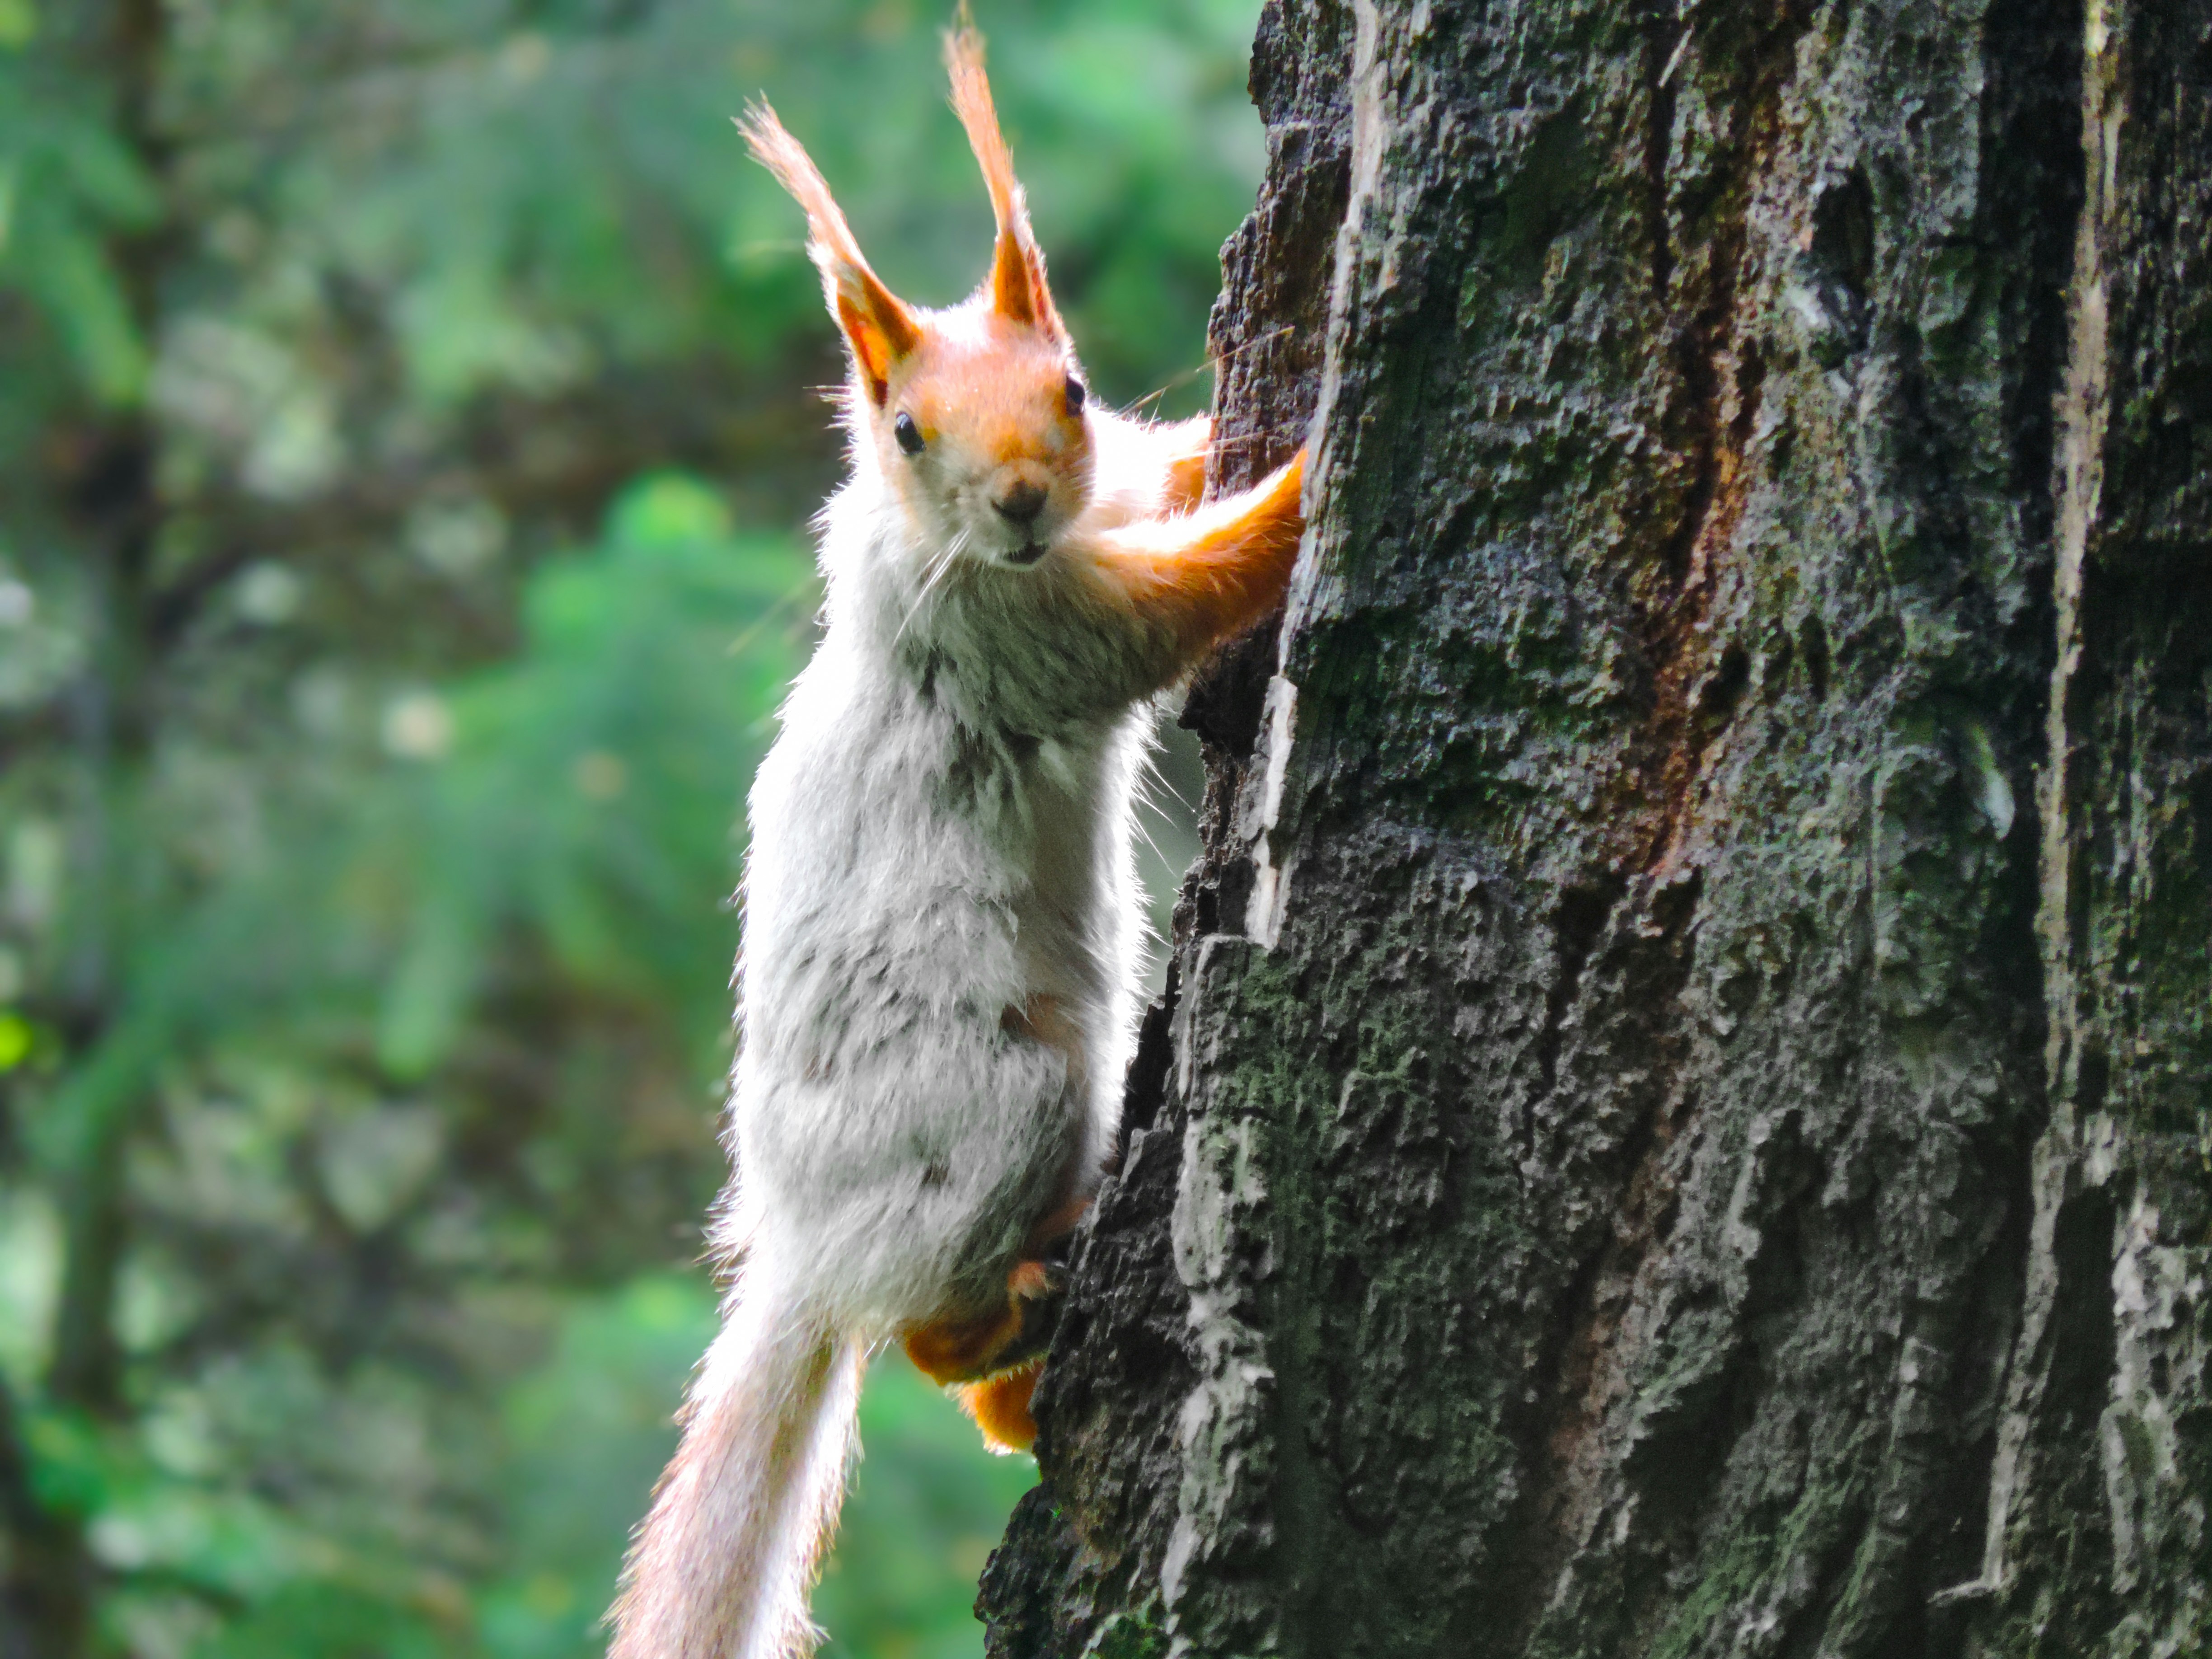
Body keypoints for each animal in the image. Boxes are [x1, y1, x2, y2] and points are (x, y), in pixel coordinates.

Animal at [607, 19, 1305, 1659]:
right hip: (1009, 1098)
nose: (1022, 502)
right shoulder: (1017, 631)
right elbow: (1165, 611)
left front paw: (1209, 451)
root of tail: (804, 1253)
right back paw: (994, 1331)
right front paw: (1306, 481)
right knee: (919, 1327)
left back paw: (1019, 1381)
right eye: (907, 428)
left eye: (1070, 385)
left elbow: (1159, 491)